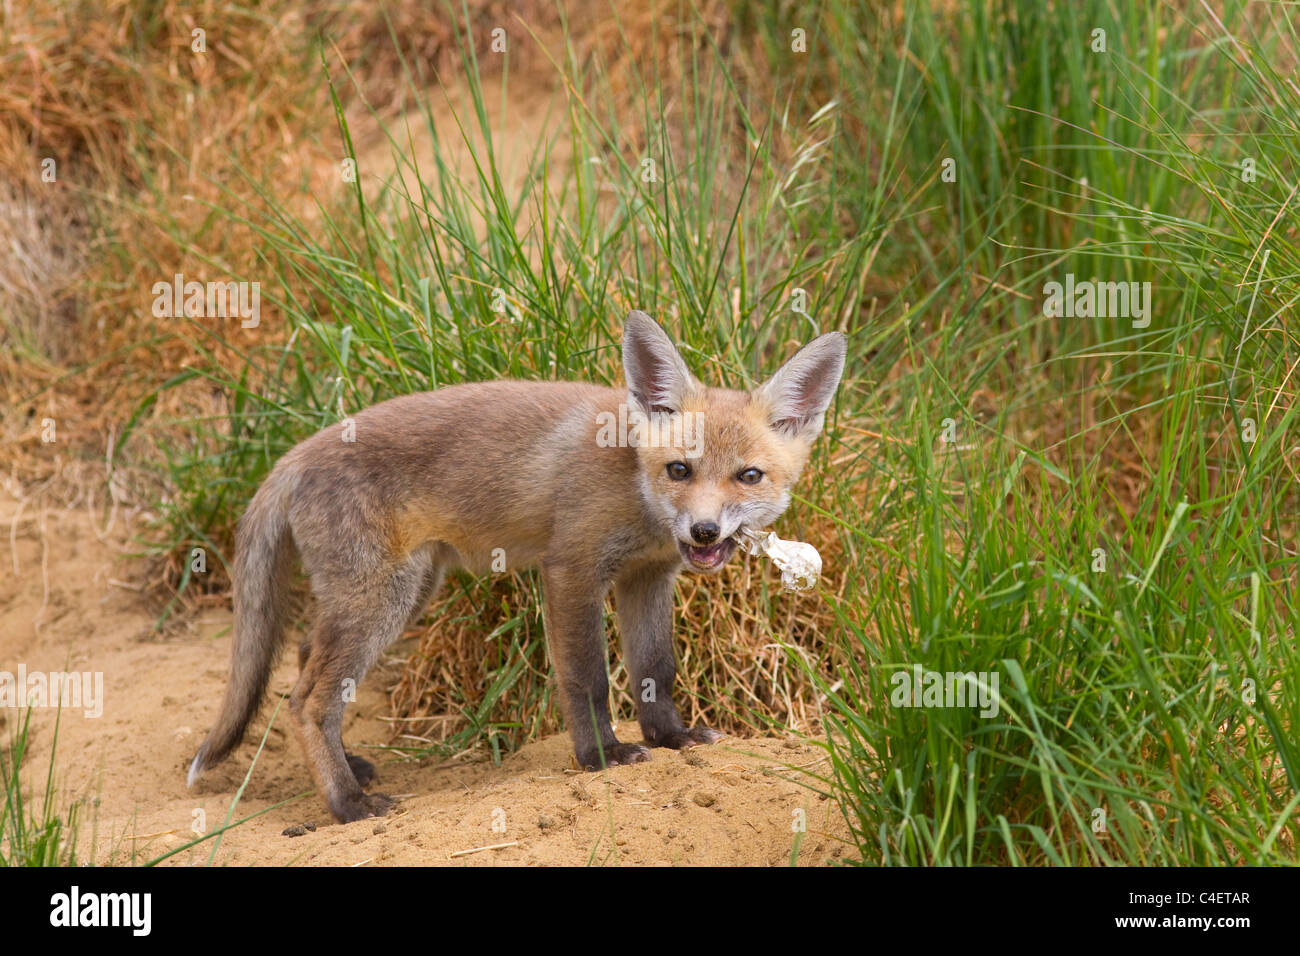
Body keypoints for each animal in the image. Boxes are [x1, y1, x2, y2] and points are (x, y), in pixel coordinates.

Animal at [187, 311, 847, 823]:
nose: (704, 531)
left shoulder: (646, 578)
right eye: (679, 470)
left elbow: (655, 670)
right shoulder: (572, 570)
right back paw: (346, 805)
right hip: (382, 598)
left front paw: (671, 738)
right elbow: (588, 679)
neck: (632, 479)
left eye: (748, 476)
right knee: (305, 699)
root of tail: (293, 454)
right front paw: (601, 756)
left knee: (306, 662)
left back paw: (350, 769)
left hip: (403, 592)